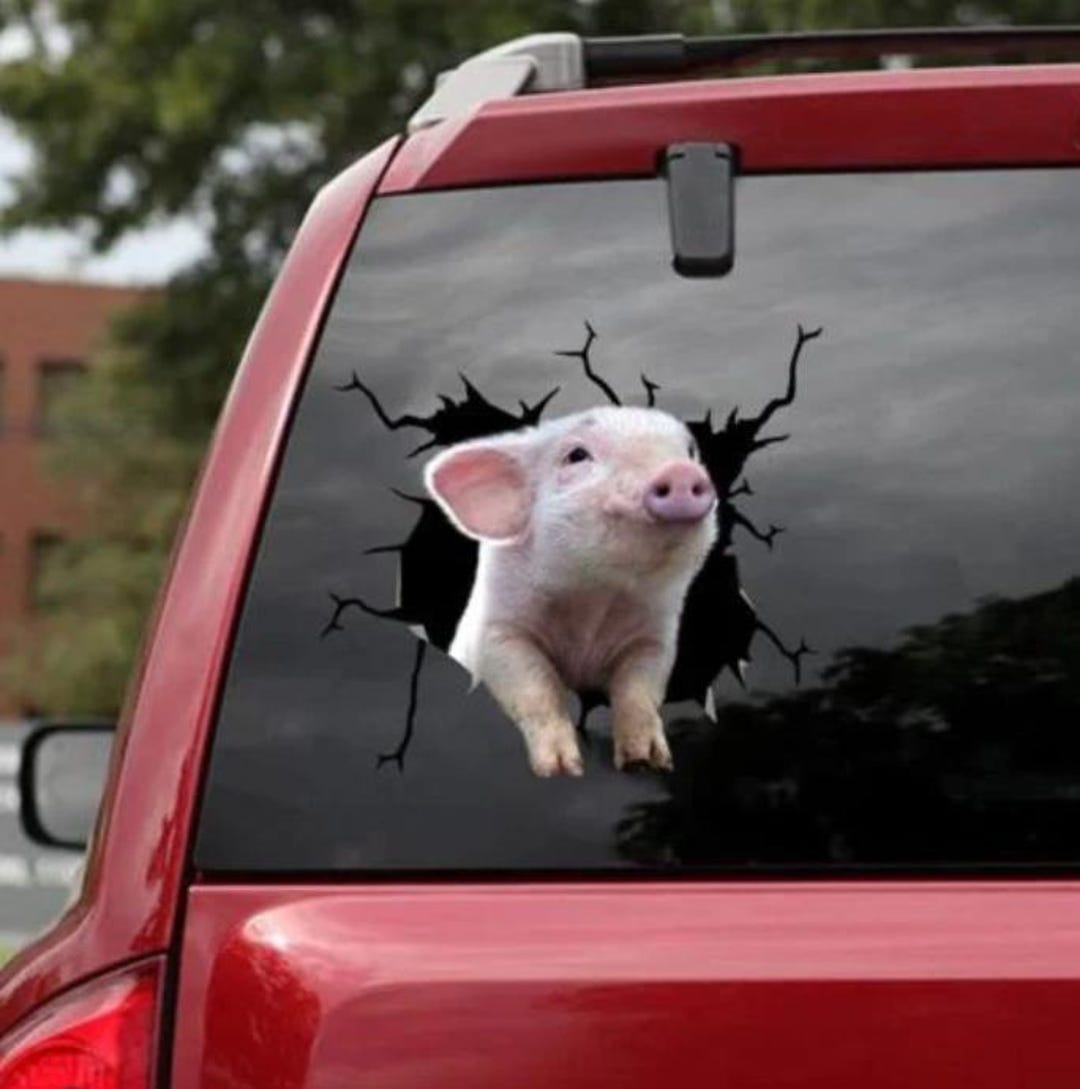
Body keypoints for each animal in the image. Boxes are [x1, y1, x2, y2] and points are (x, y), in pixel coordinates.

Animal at [423, 405, 717, 777]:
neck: (595, 600)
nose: (681, 470)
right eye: (576, 455)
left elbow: (639, 692)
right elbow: (537, 688)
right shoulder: (497, 634)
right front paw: (561, 770)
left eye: (690, 451)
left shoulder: (654, 640)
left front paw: (649, 763)